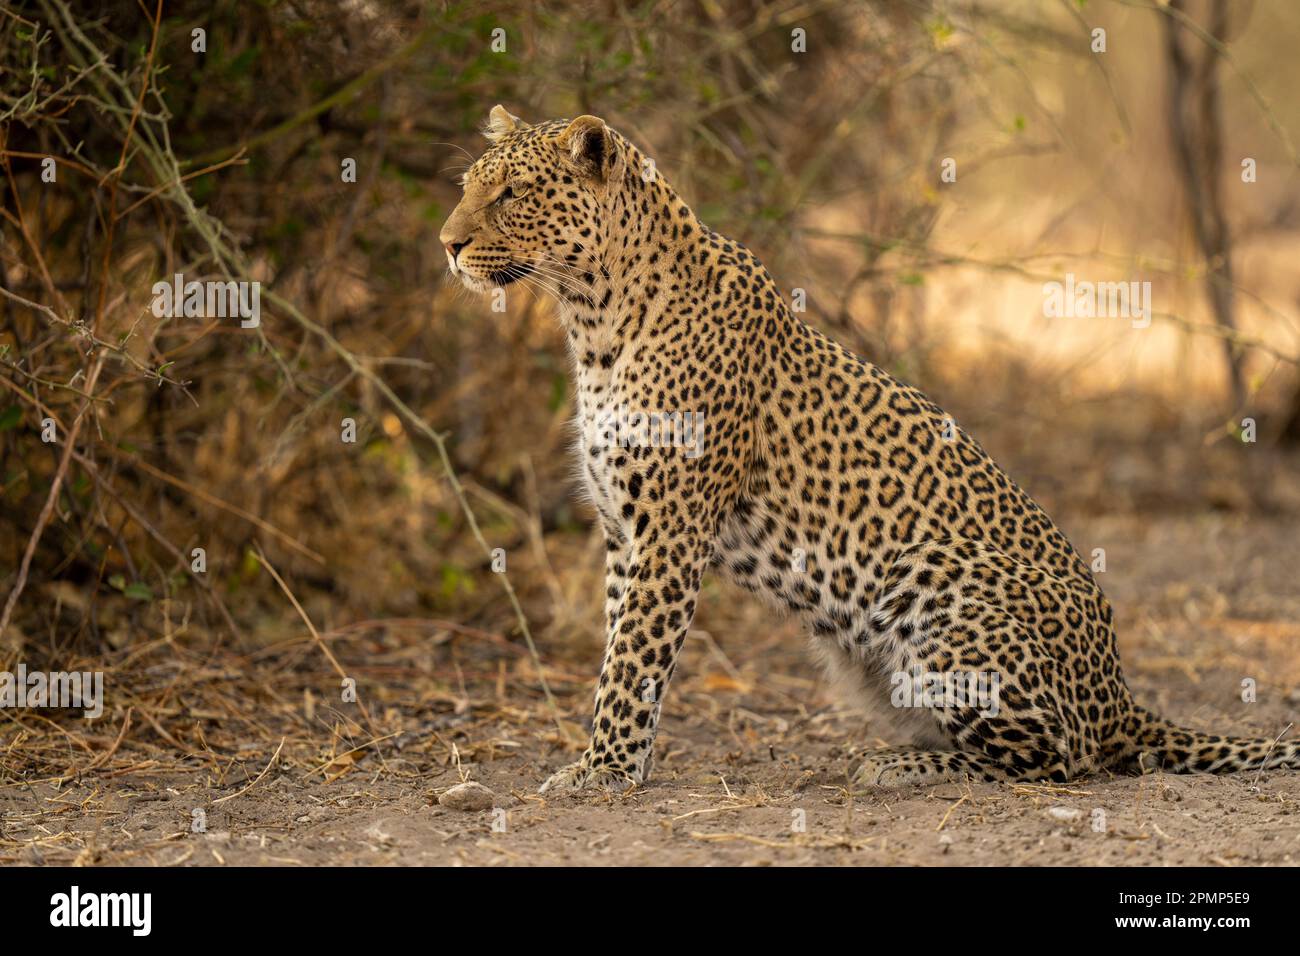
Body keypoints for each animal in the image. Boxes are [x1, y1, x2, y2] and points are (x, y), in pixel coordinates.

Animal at [439, 105, 1300, 792]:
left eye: (510, 194)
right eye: (469, 186)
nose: (446, 243)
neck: (591, 320)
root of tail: (1122, 697)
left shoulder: (671, 531)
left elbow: (632, 663)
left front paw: (603, 772)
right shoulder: (624, 531)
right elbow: (620, 653)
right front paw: (614, 761)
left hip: (939, 578)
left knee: (1059, 760)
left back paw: (898, 766)